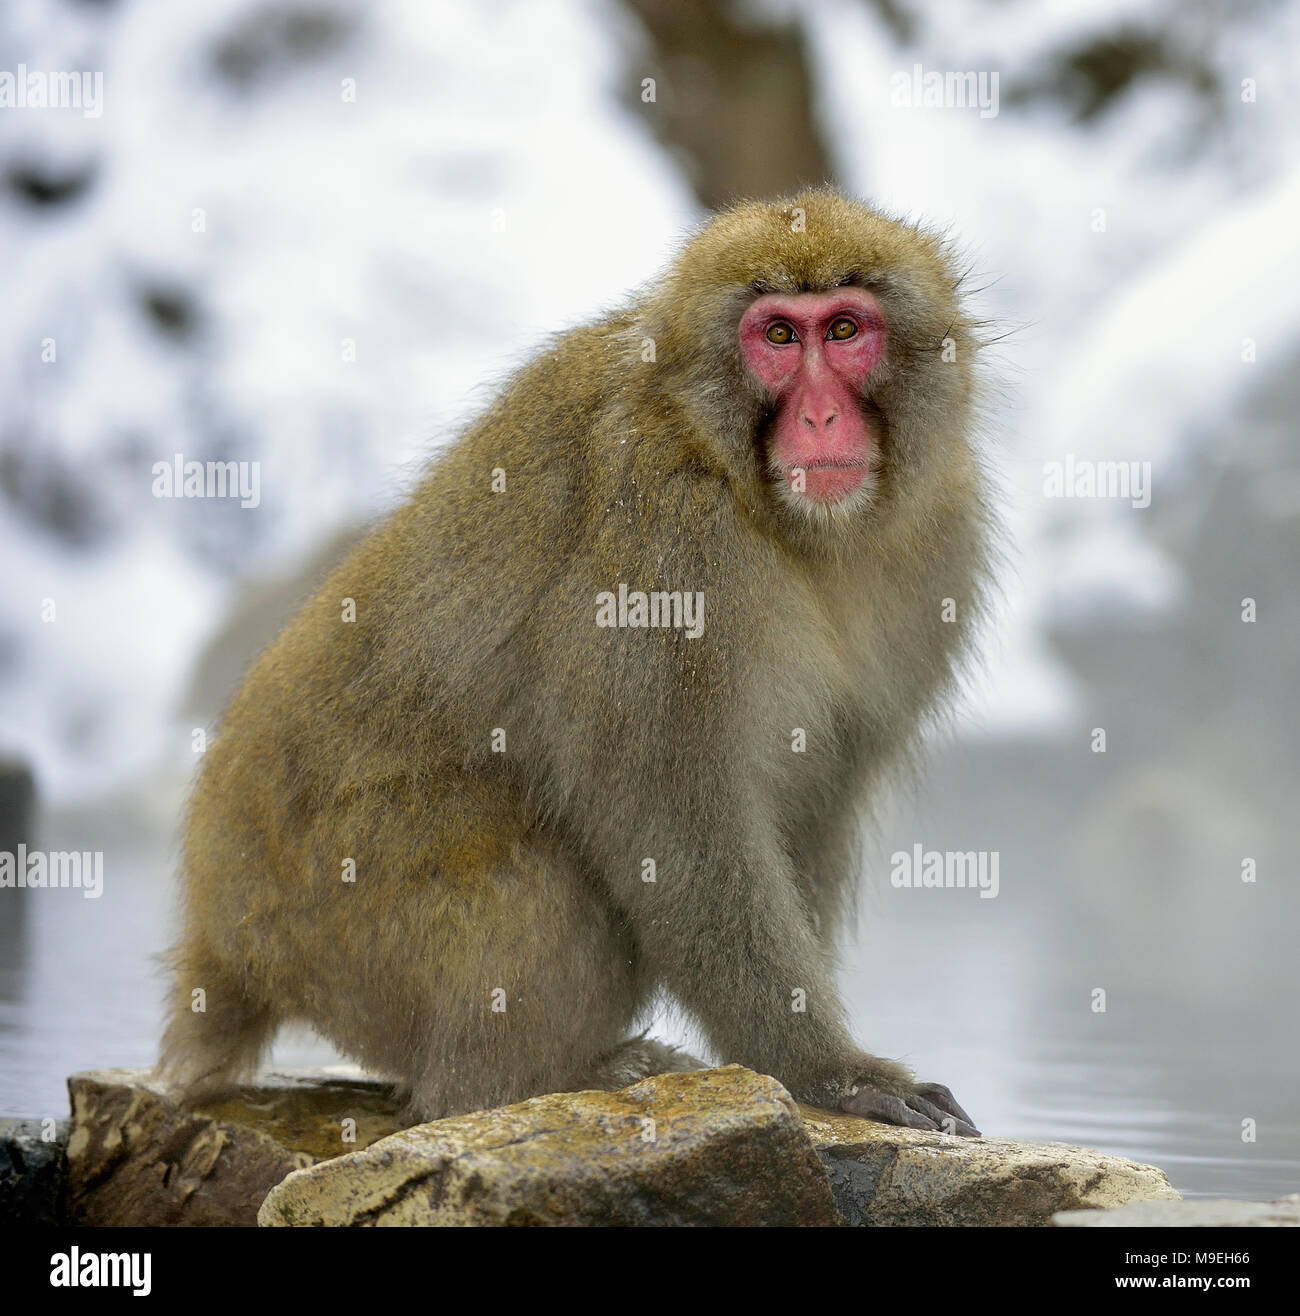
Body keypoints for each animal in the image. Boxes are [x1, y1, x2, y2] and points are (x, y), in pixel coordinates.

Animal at [159, 189, 991, 1138]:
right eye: (780, 337)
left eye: (846, 329)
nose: (820, 417)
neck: (768, 508)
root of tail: (221, 939)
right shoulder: (666, 539)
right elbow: (672, 821)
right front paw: (830, 1071)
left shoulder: (941, 537)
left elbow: (811, 801)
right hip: (339, 927)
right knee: (547, 882)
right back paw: (522, 1083)